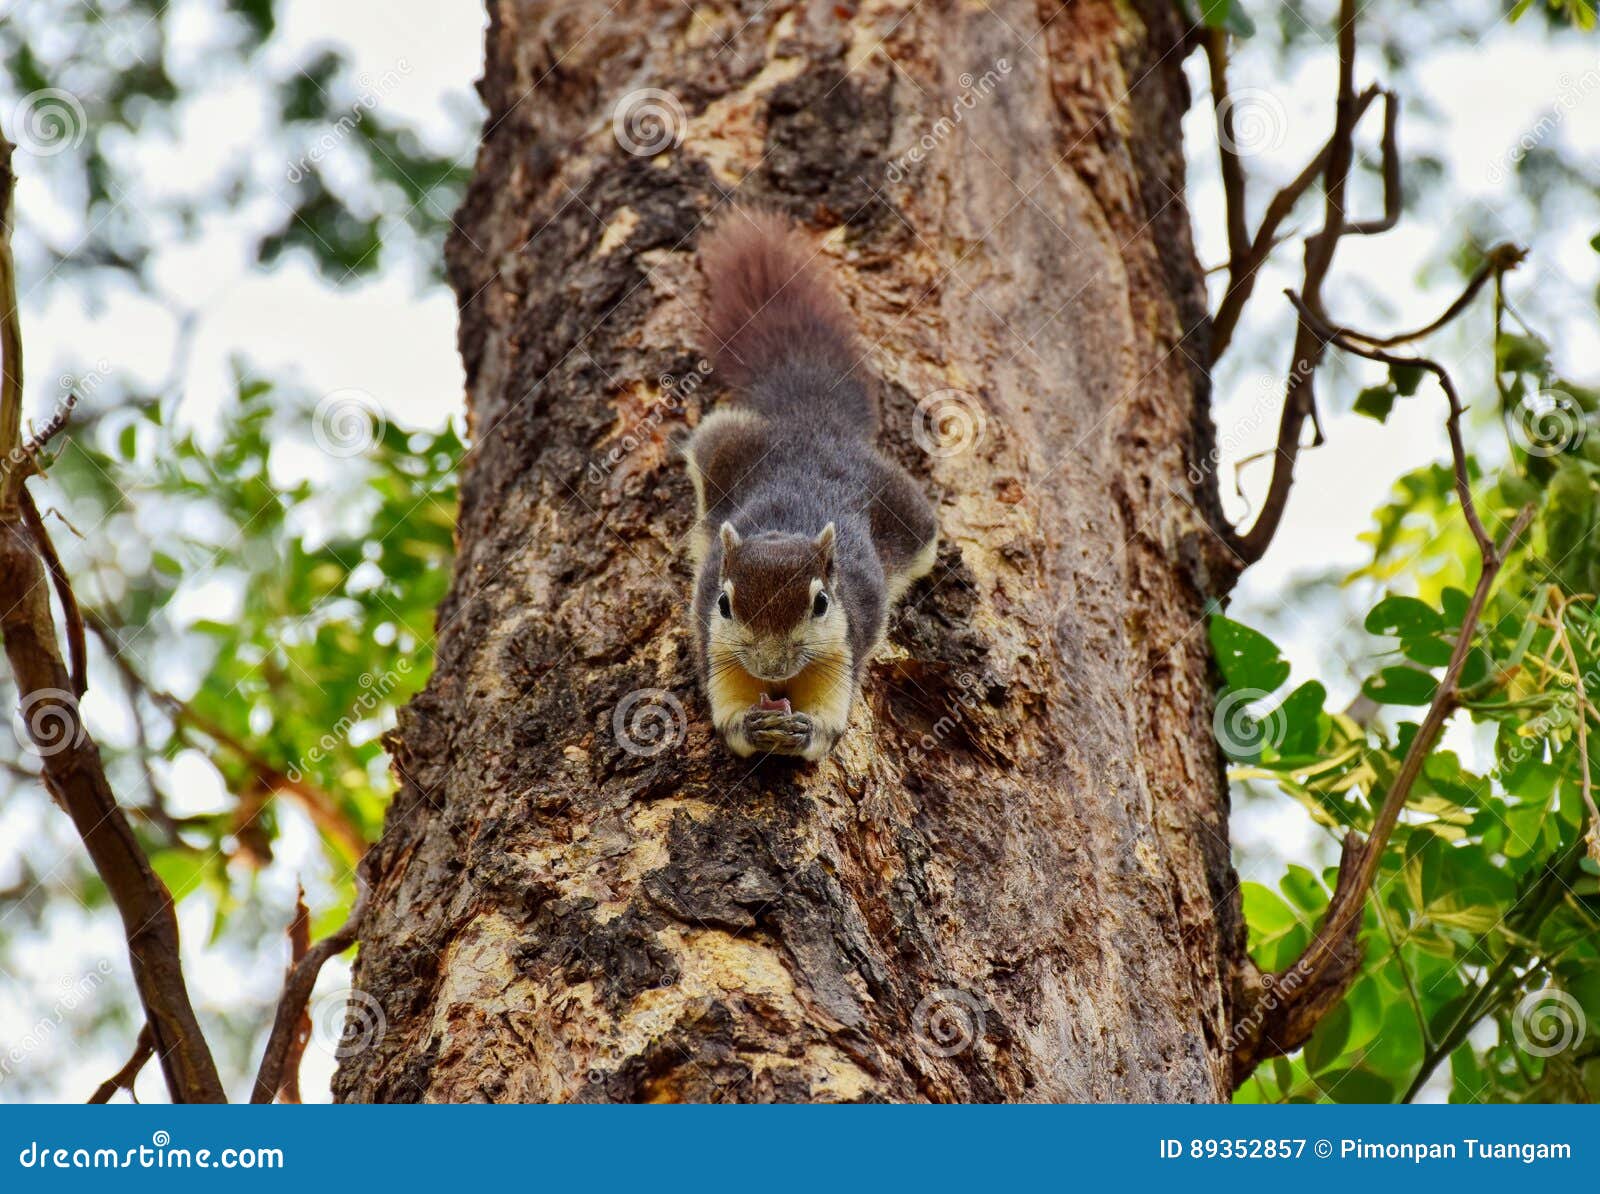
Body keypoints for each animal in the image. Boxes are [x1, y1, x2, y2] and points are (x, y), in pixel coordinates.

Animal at [684, 210, 938, 761]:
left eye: (821, 603)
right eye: (724, 604)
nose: (771, 667)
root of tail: (814, 420)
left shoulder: (843, 644)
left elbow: (830, 710)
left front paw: (808, 730)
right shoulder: (718, 647)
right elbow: (726, 702)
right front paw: (747, 724)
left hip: (912, 519)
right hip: (722, 451)